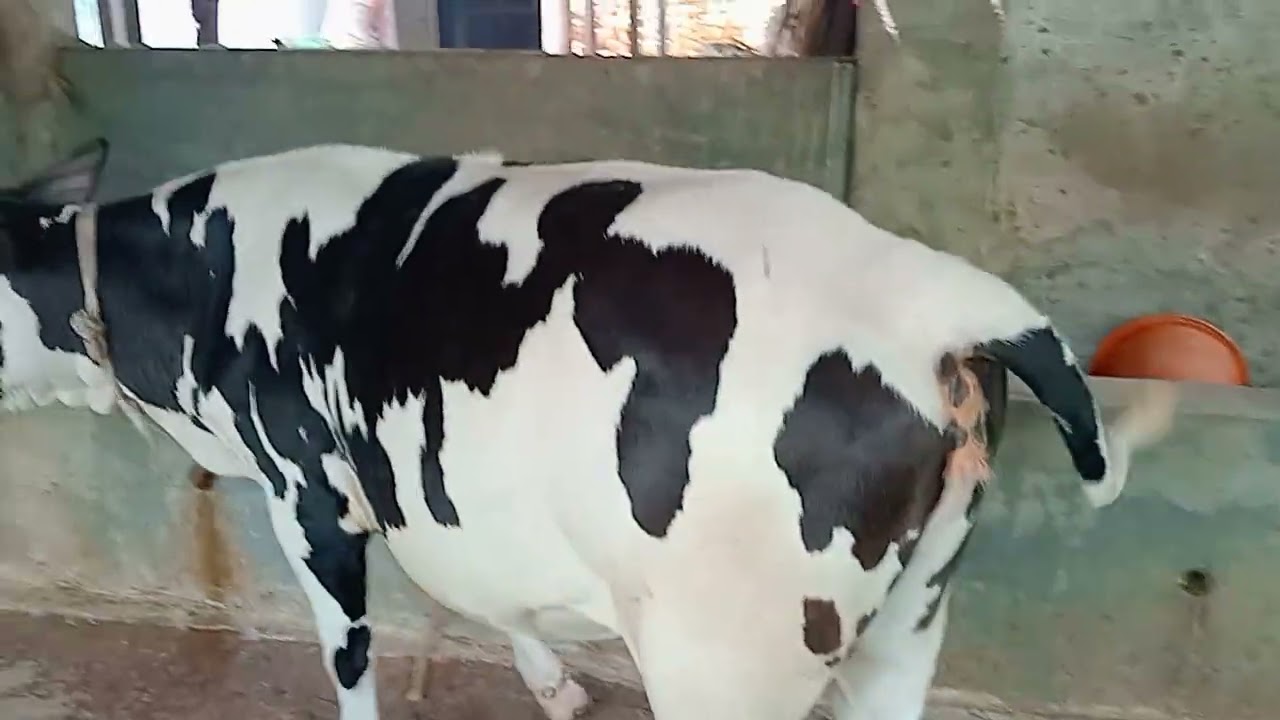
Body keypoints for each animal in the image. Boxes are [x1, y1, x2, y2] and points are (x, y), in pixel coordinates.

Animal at [0, 138, 1175, 720]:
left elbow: (349, 653)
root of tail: (931, 298)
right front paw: (553, 683)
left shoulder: (306, 488)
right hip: (909, 619)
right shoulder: (432, 483)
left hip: (729, 663)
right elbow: (479, 583)